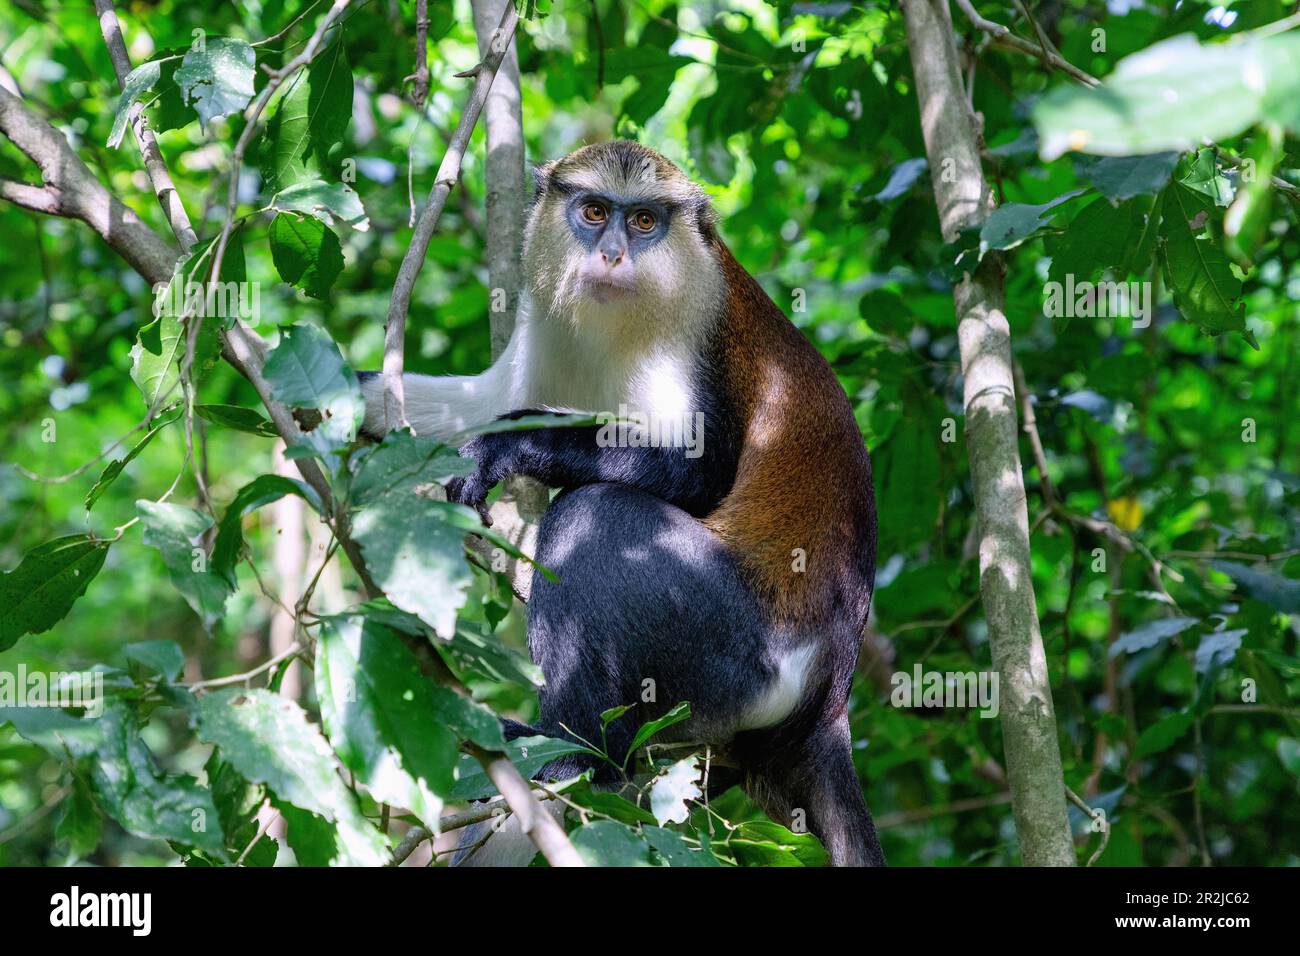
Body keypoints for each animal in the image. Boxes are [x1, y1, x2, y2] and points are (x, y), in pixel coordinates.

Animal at [359, 141, 883, 866]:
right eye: (594, 211)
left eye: (643, 222)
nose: (610, 254)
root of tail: (830, 699)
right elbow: (486, 400)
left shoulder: (696, 332)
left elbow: (698, 469)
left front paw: (502, 448)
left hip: (737, 655)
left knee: (595, 516)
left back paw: (573, 752)